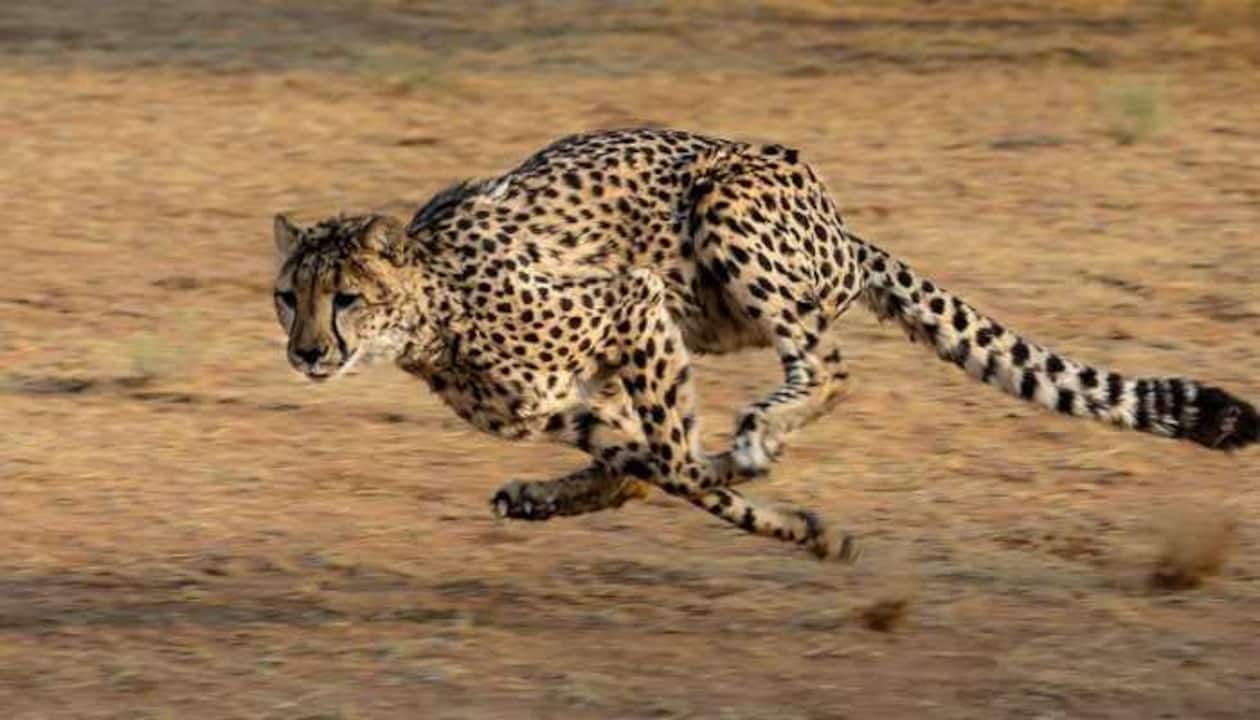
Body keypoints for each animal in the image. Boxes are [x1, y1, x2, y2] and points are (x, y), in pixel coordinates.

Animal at [272, 127, 1257, 561]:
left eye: (345, 298)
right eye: (288, 298)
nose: (306, 353)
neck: (432, 312)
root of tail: (841, 222)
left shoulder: (629, 301)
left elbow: (675, 463)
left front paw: (787, 512)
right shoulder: (570, 400)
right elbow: (650, 467)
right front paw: (792, 522)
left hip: (725, 216)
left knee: (829, 365)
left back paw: (758, 435)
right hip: (705, 312)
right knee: (657, 456)